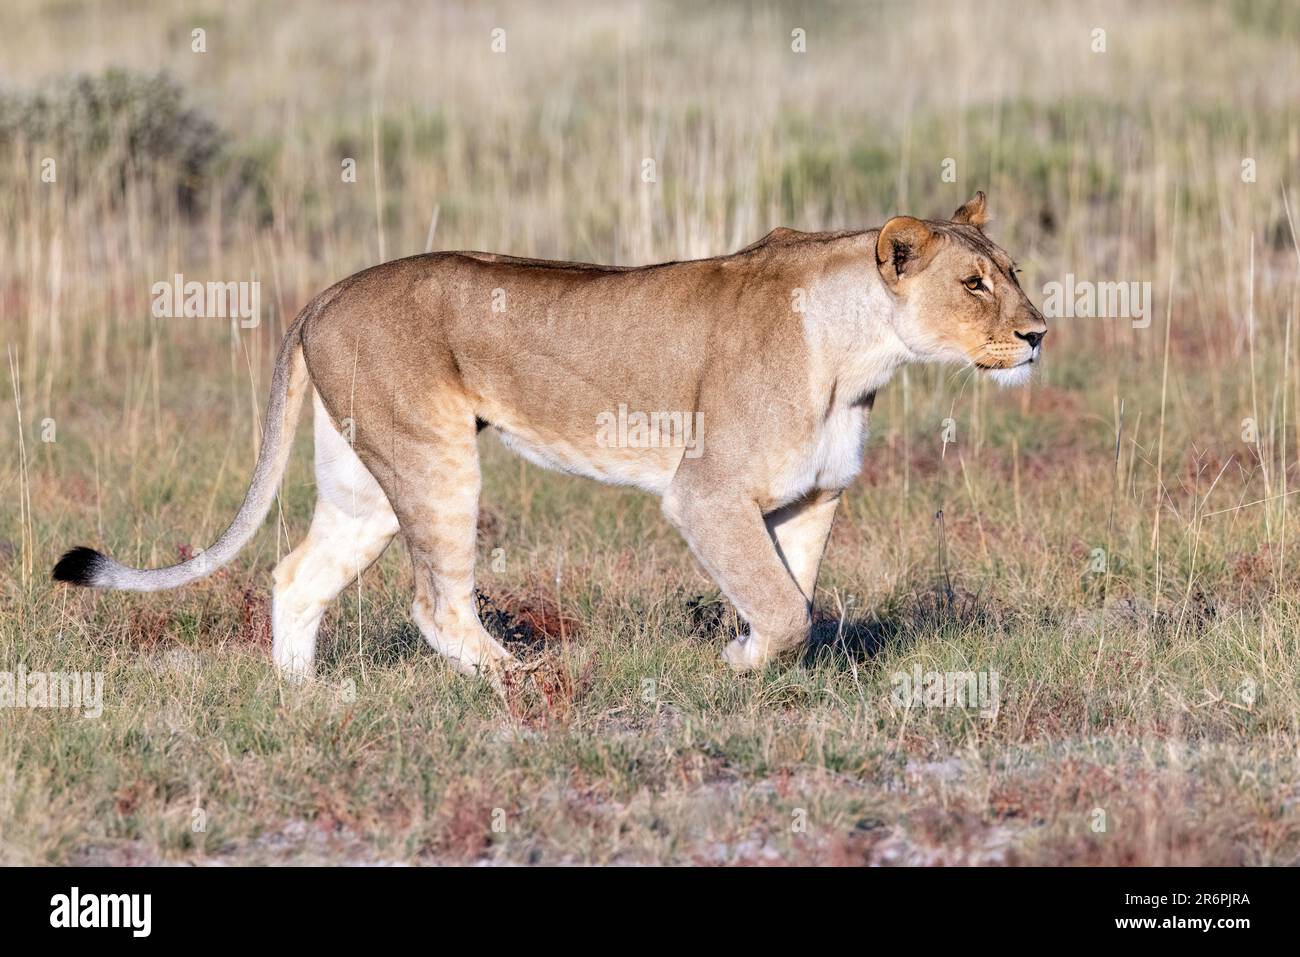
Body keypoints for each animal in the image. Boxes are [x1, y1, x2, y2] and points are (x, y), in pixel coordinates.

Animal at [53, 191, 1046, 684]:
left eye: (1013, 271)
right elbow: (782, 604)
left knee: (296, 573)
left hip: (366, 480)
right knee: (437, 604)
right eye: (973, 284)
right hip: (435, 458)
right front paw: (738, 661)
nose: (1039, 333)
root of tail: (324, 294)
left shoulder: (810, 496)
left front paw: (757, 666)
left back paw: (303, 696)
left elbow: (792, 597)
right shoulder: (706, 492)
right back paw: (519, 680)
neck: (860, 351)